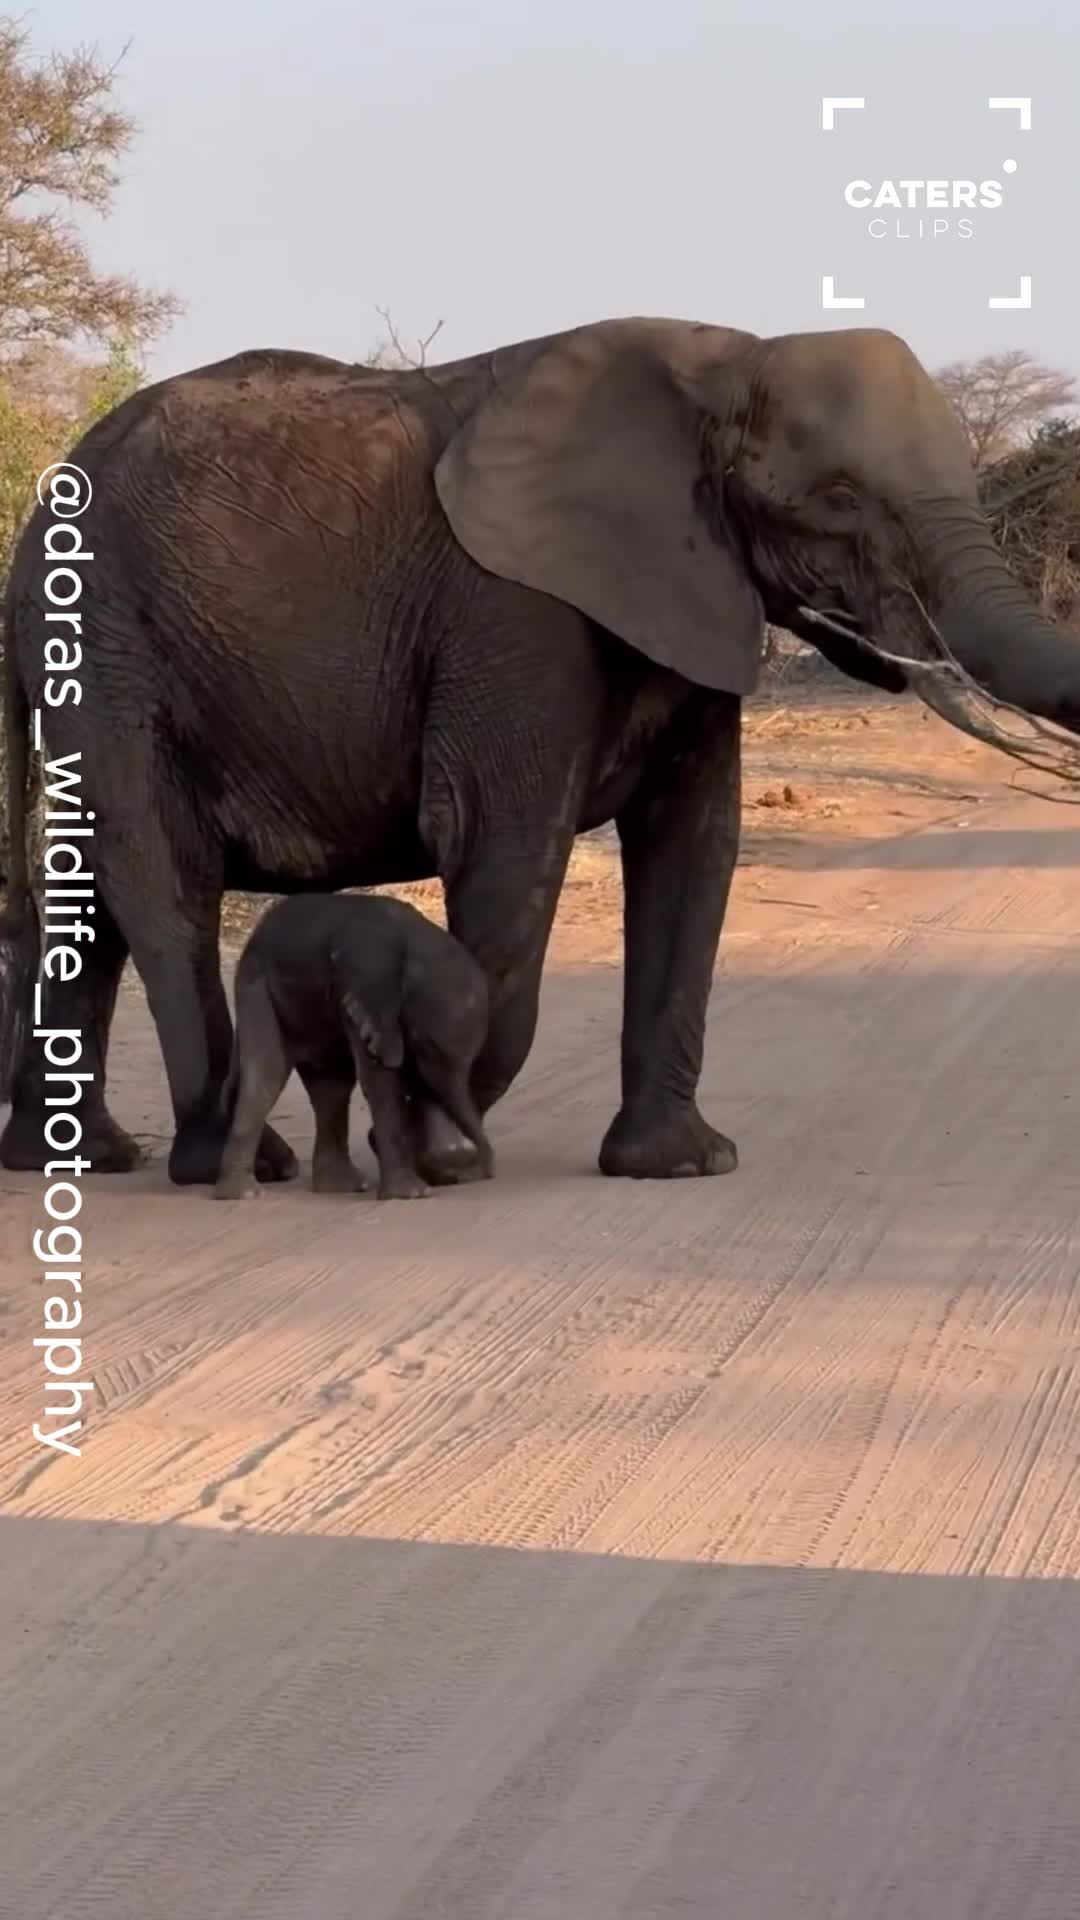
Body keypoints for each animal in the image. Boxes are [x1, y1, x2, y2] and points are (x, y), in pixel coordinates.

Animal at [215, 893, 493, 1202]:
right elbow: (380, 1079)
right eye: (426, 1045)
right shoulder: (367, 987)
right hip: (256, 983)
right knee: (267, 1074)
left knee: (330, 1084)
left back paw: (340, 1187)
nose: (485, 1173)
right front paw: (411, 1194)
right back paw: (244, 1193)